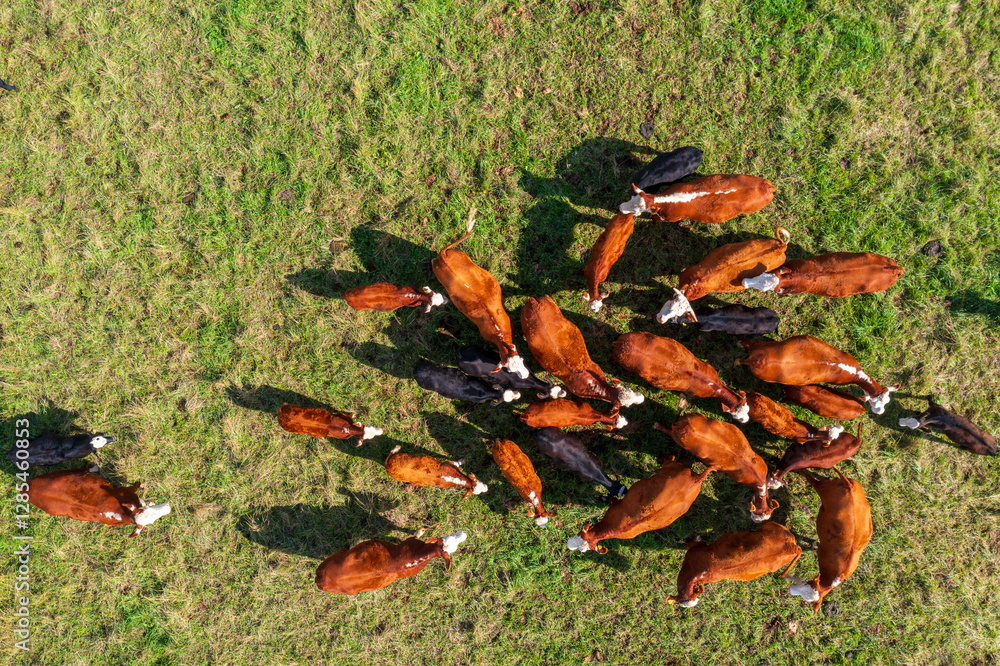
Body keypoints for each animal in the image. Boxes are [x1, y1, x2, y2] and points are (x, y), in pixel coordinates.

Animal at [315, 530, 467, 595]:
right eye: (448, 536)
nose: (464, 534)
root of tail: (320, 581)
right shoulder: (409, 541)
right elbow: (416, 535)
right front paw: (421, 531)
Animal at [567, 459, 712, 554]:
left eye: (582, 550)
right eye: (577, 535)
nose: (569, 546)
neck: (617, 526)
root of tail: (696, 479)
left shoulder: (616, 505)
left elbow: (613, 499)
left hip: (671, 466)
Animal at [737, 335, 897, 414]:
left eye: (887, 401)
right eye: (874, 403)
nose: (880, 413)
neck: (854, 372)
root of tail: (757, 359)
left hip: (762, 345)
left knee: (750, 342)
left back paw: (741, 343)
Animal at [788, 469, 873, 612]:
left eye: (806, 584)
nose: (790, 590)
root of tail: (848, 485)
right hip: (822, 488)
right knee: (811, 479)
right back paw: (798, 470)